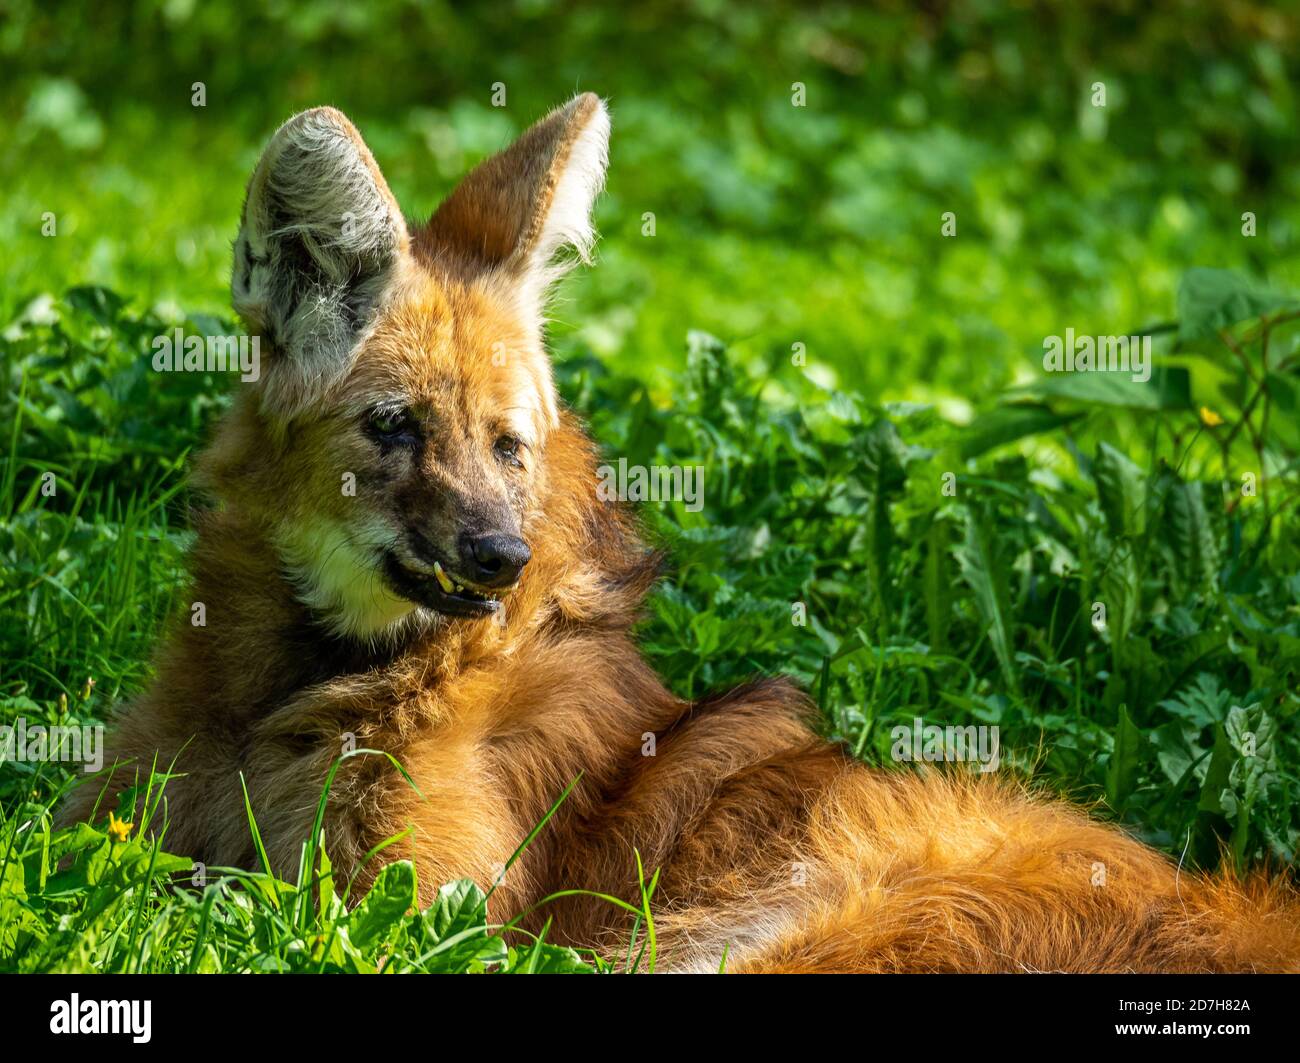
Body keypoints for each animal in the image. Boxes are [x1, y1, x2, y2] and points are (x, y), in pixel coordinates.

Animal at [62, 94, 1299, 972]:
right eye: (396, 426)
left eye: (507, 445)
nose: (499, 556)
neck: (295, 683)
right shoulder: (119, 811)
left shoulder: (419, 916)